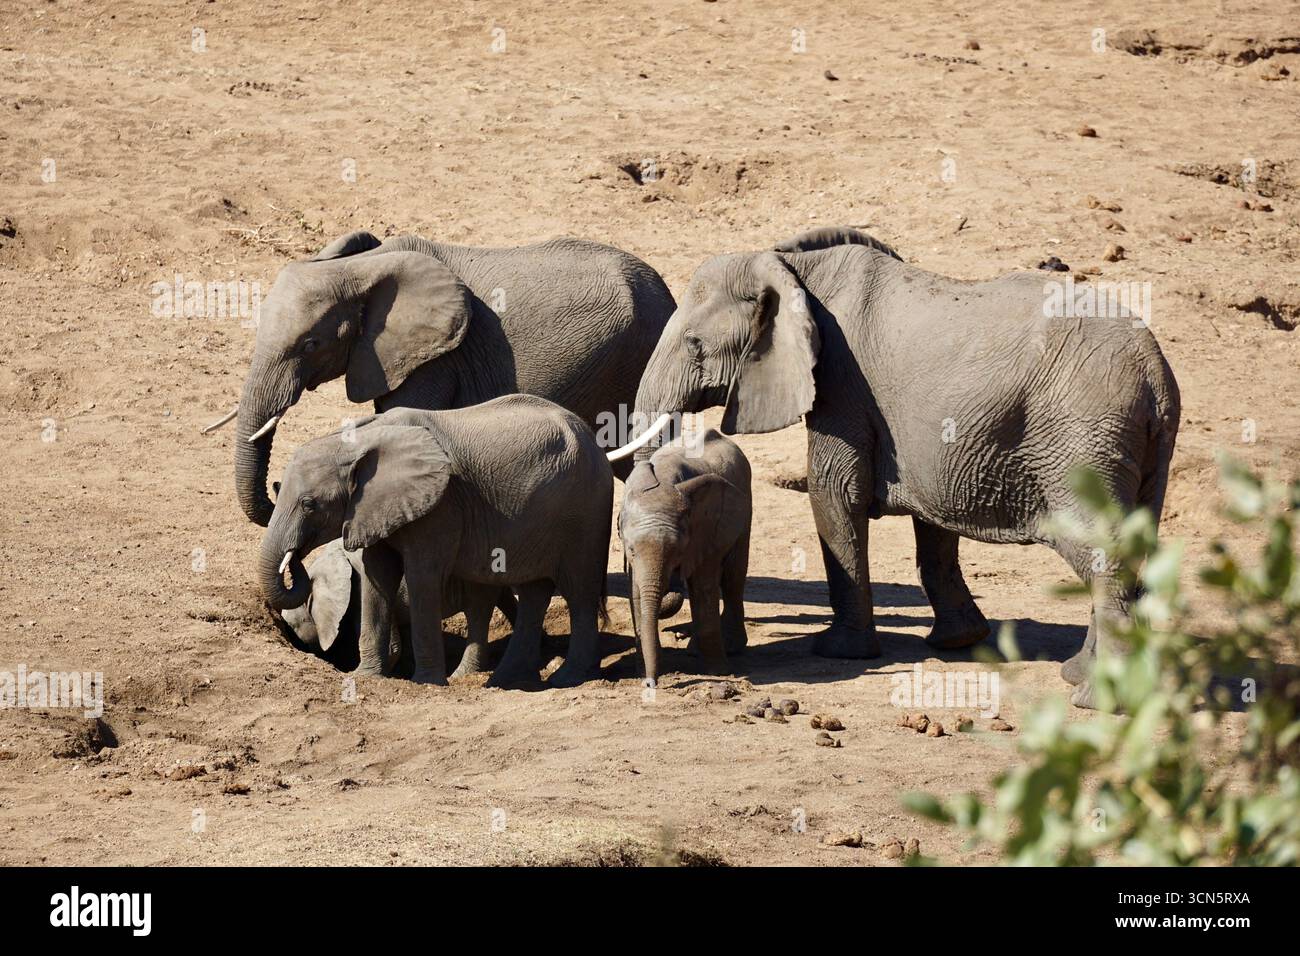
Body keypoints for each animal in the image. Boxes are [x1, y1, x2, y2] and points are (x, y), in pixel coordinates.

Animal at [618, 429, 751, 684]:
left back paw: (729, 647)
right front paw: (642, 673)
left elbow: (704, 585)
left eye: (677, 551)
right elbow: (635, 595)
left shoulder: (705, 530)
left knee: (733, 577)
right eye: (631, 550)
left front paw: (720, 672)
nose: (651, 683)